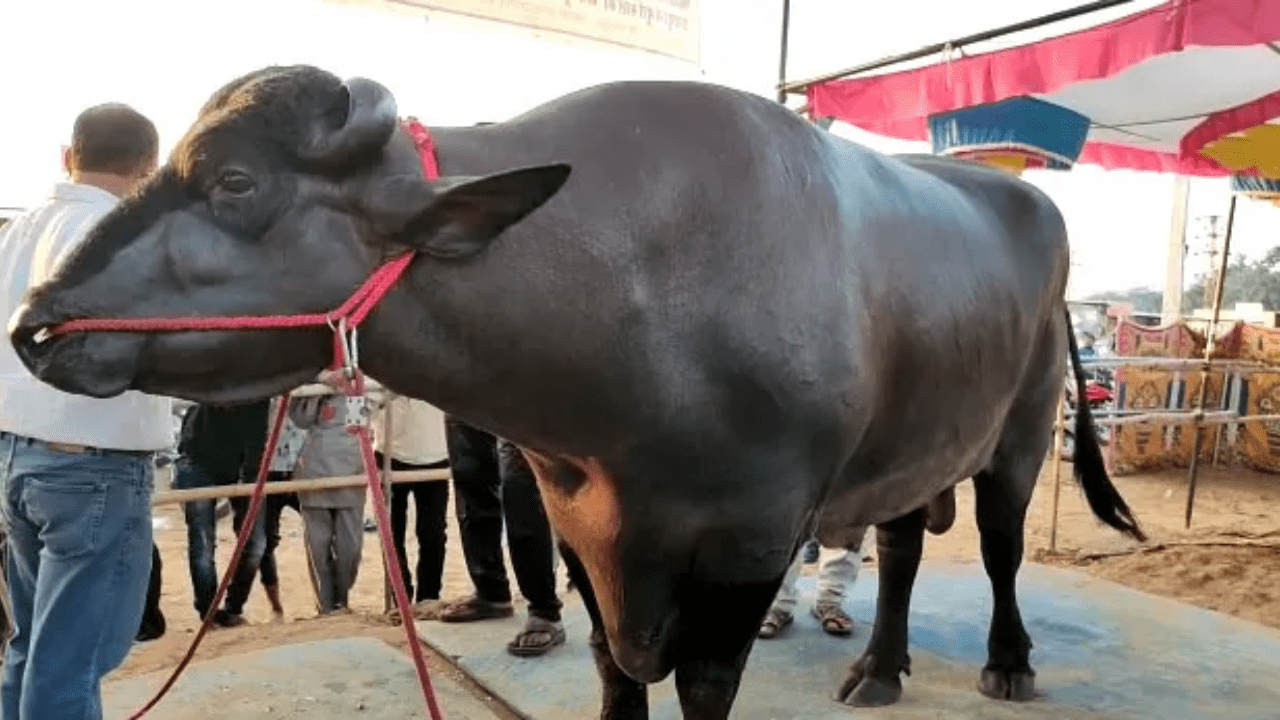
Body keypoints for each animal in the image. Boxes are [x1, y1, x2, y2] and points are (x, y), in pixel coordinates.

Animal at [11, 65, 1143, 718]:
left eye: (236, 183)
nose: (36, 324)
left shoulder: (751, 533)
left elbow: (701, 680)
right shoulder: (582, 520)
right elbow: (614, 664)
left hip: (1020, 431)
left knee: (997, 545)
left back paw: (1007, 661)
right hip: (912, 446)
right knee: (905, 547)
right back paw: (879, 668)